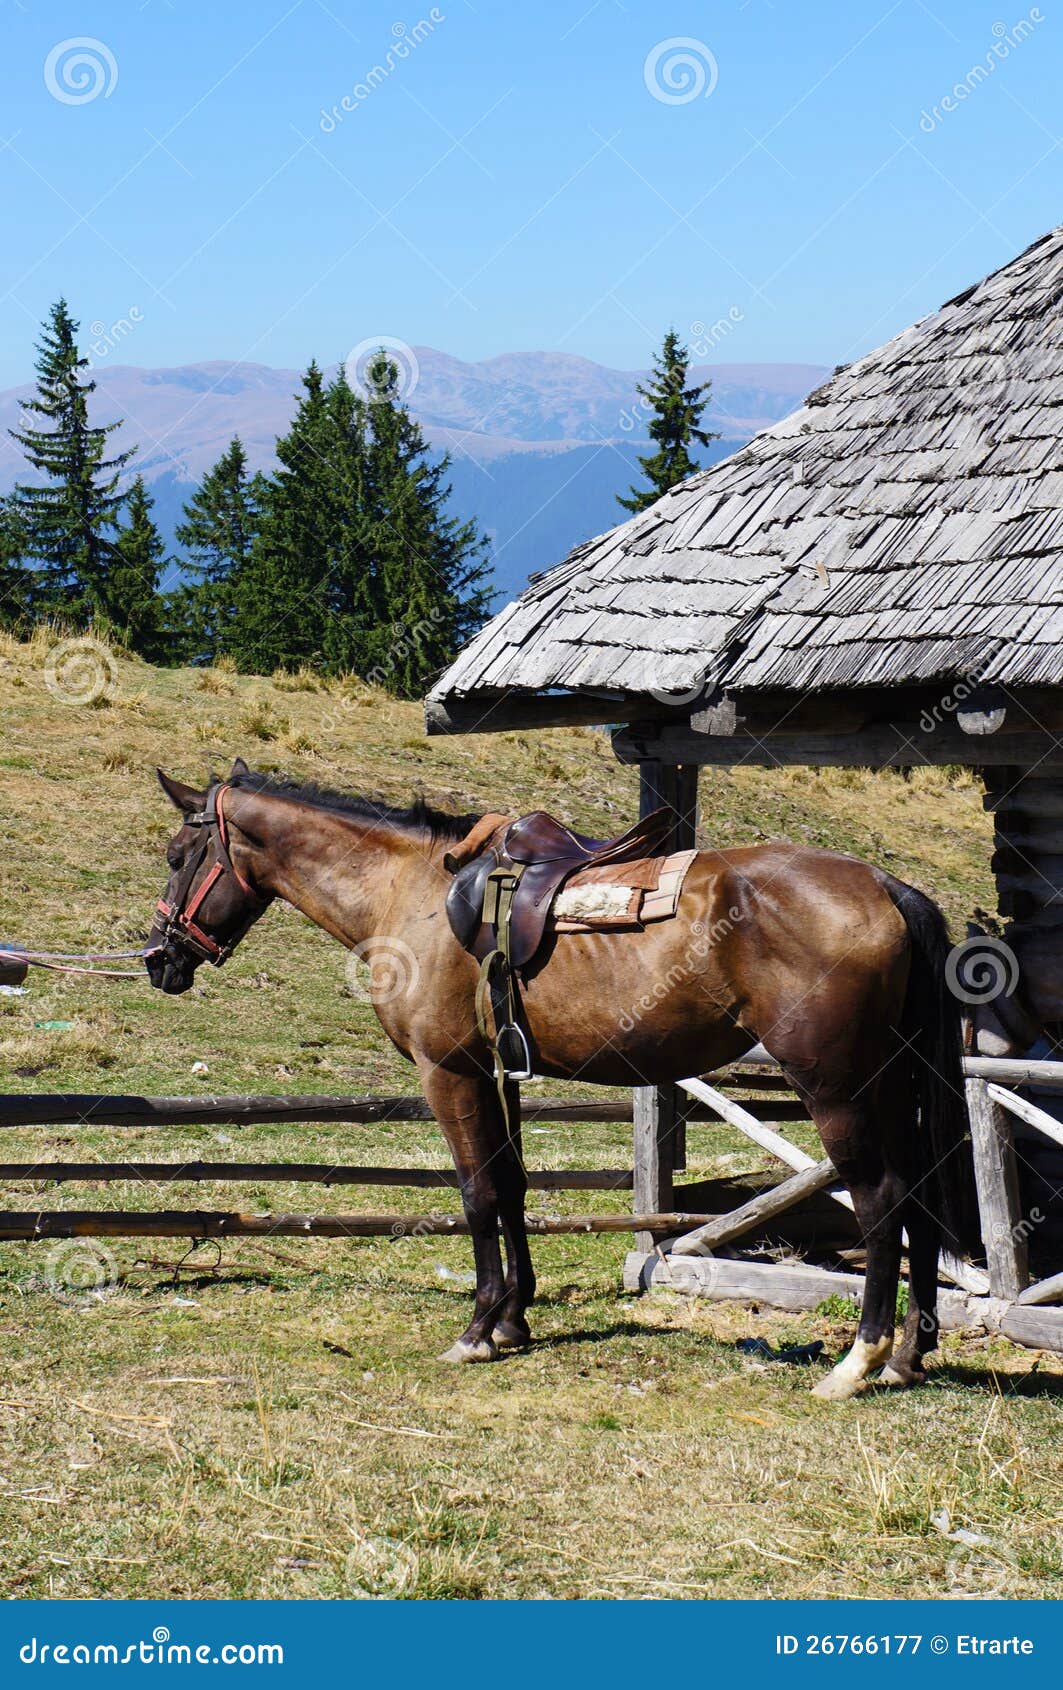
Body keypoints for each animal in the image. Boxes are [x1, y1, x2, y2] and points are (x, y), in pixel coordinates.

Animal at [145, 759, 979, 1401]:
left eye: (179, 855)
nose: (159, 959)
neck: (408, 891)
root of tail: (885, 886)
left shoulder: (449, 1074)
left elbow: (477, 1194)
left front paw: (478, 1327)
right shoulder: (498, 1073)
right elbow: (511, 1186)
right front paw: (515, 1318)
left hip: (836, 1090)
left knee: (880, 1203)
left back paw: (858, 1361)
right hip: (888, 1086)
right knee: (915, 1199)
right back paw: (909, 1354)